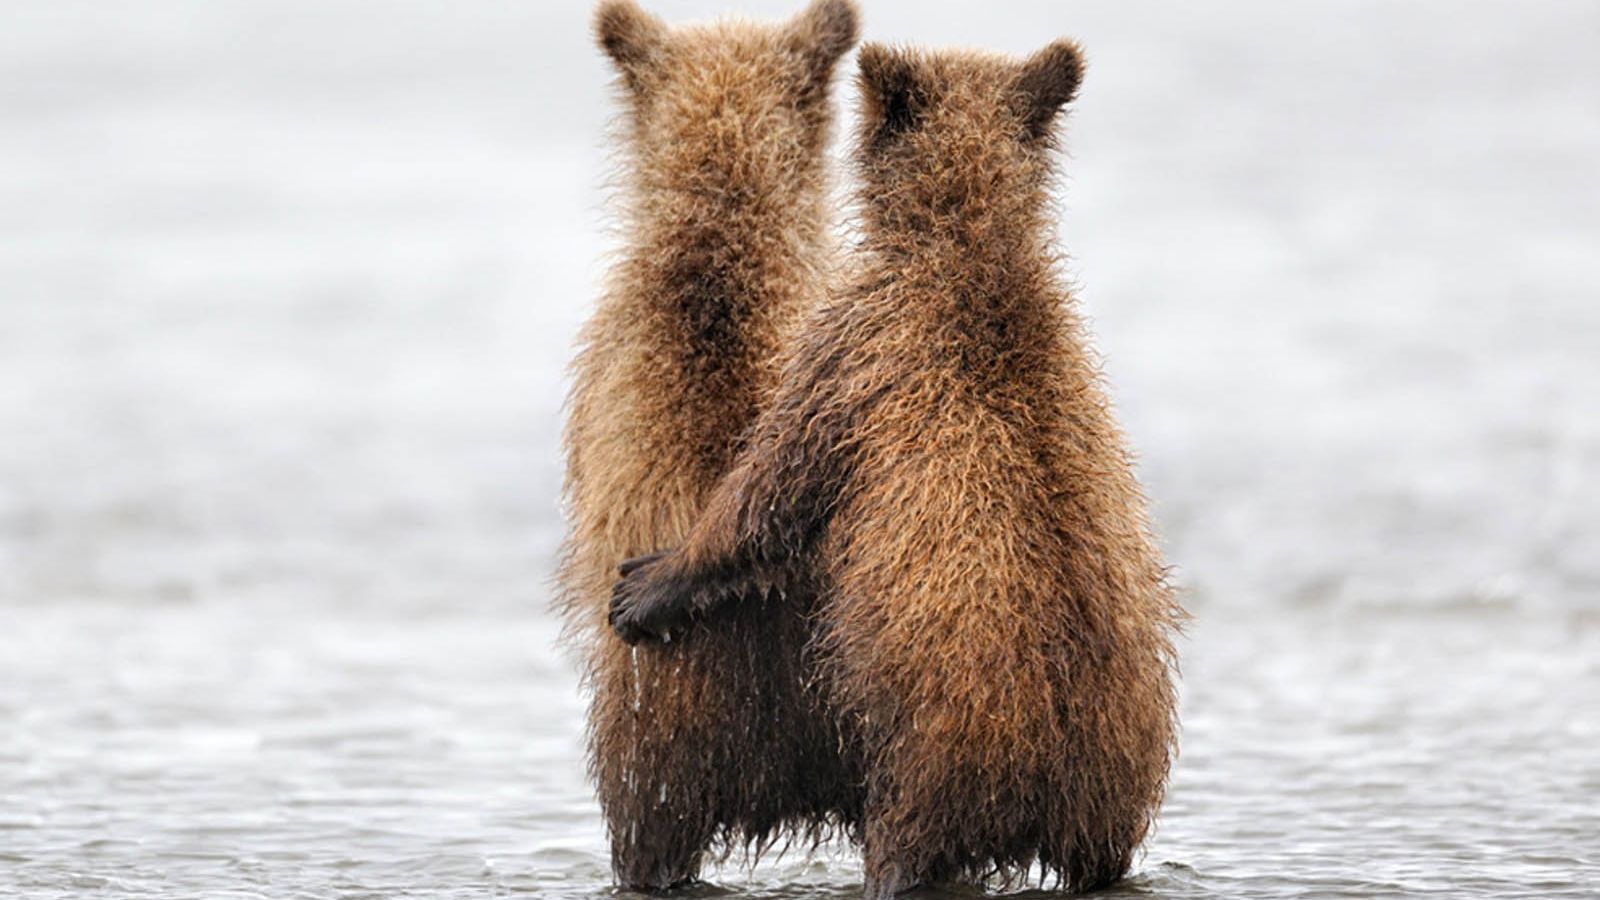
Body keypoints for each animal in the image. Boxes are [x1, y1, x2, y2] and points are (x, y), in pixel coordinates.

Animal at [610, 39, 1183, 898]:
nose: (635, 590)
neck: (967, 245)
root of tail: (1058, 766)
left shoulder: (853, 350)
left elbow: (773, 491)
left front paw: (648, 581)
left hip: (933, 755)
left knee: (904, 848)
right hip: (1114, 785)